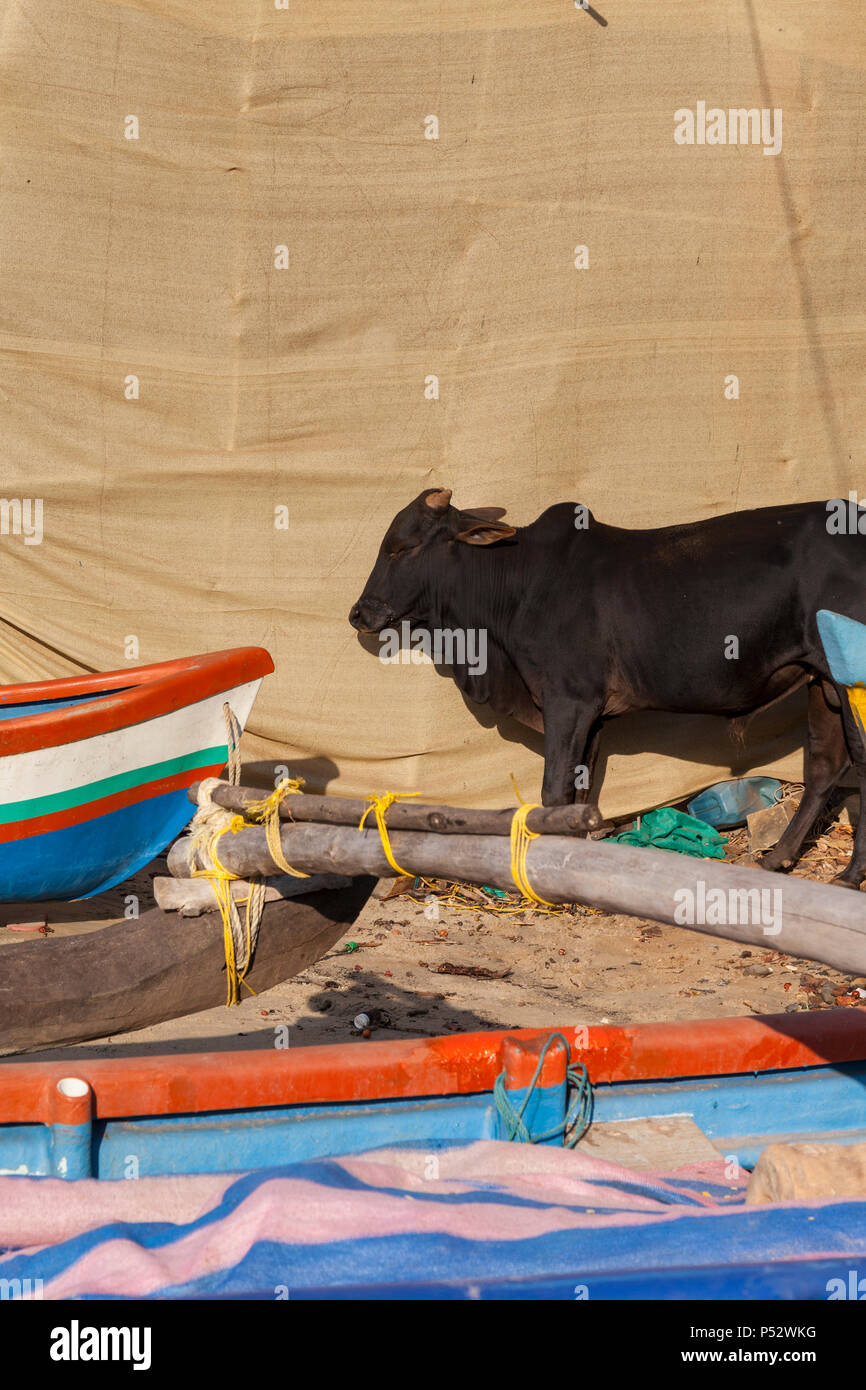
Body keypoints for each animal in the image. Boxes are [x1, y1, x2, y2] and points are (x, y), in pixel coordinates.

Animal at [349, 487, 866, 887]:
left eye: (401, 547)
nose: (359, 613)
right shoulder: (593, 715)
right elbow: (580, 789)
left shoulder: (568, 701)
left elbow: (554, 788)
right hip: (822, 683)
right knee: (824, 768)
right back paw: (778, 858)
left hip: (850, 683)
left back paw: (848, 875)